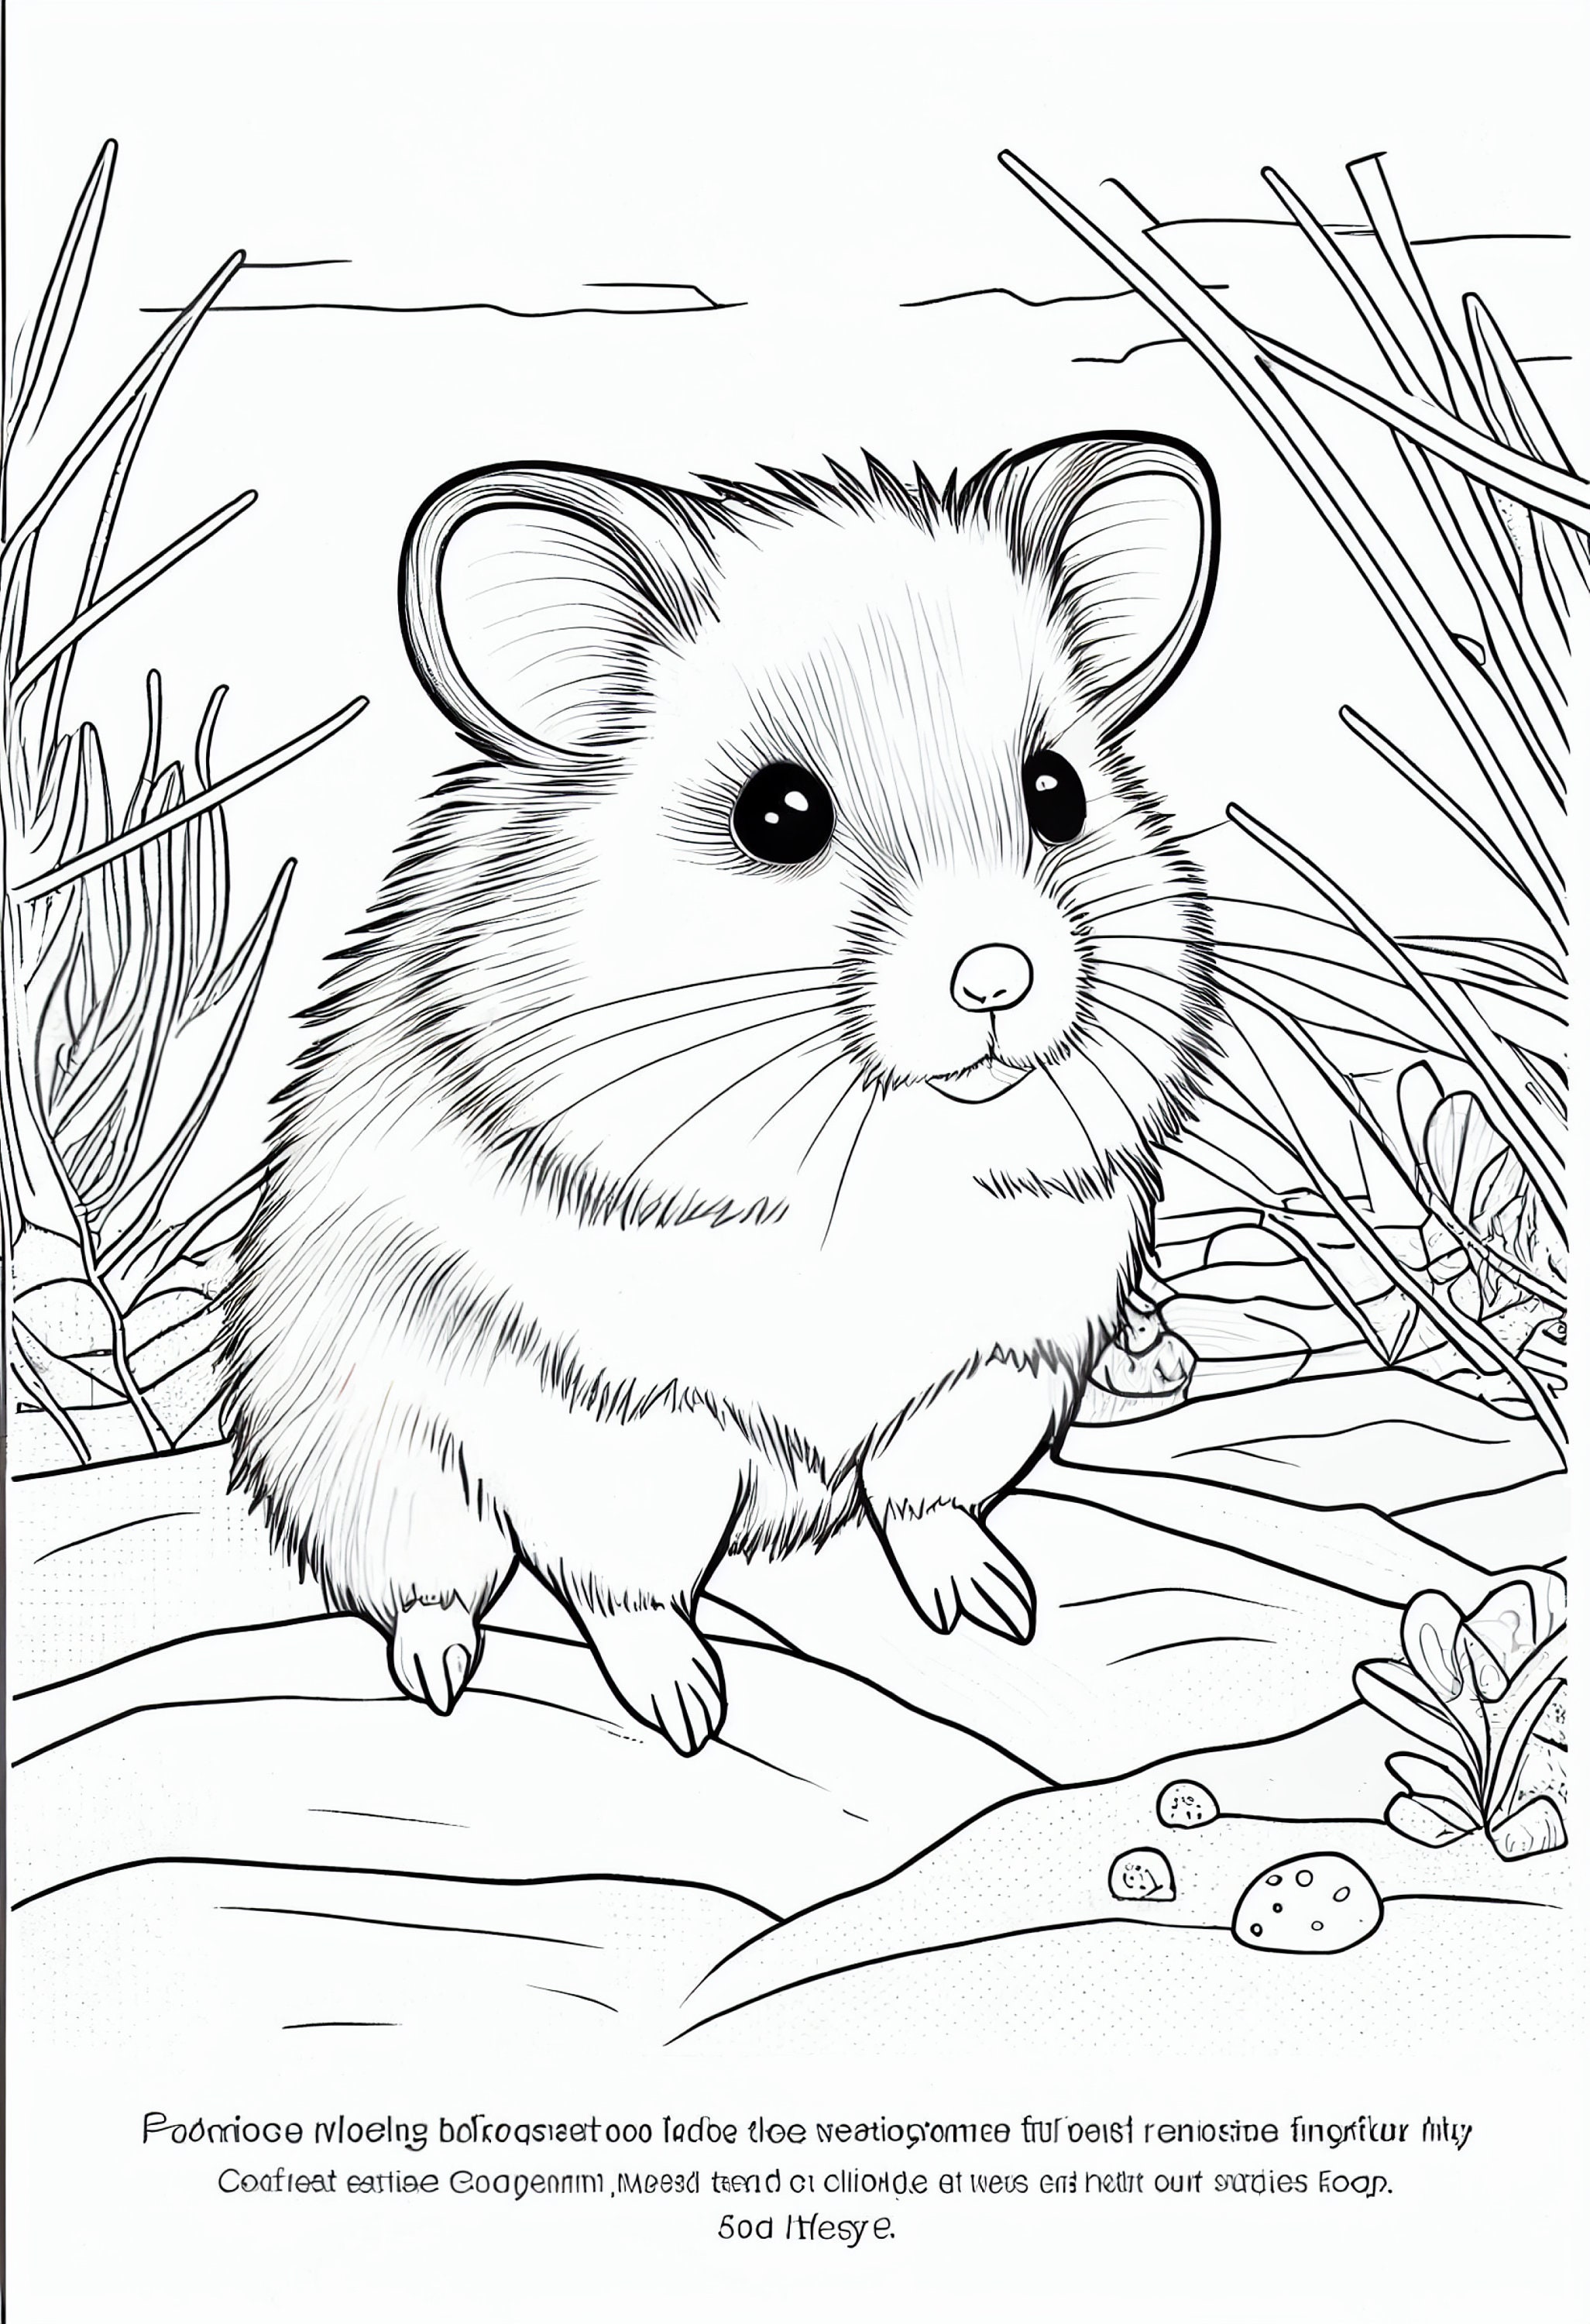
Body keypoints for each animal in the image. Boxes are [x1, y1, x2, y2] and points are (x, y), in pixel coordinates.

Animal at [220, 432, 1221, 1754]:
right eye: (777, 815)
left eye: (1056, 790)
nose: (999, 975)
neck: (876, 1154)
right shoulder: (617, 1426)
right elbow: (629, 1588)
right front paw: (690, 1715)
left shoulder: (995, 1370)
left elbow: (929, 1501)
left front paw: (999, 1610)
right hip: (371, 1467)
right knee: (421, 1580)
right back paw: (438, 1677)